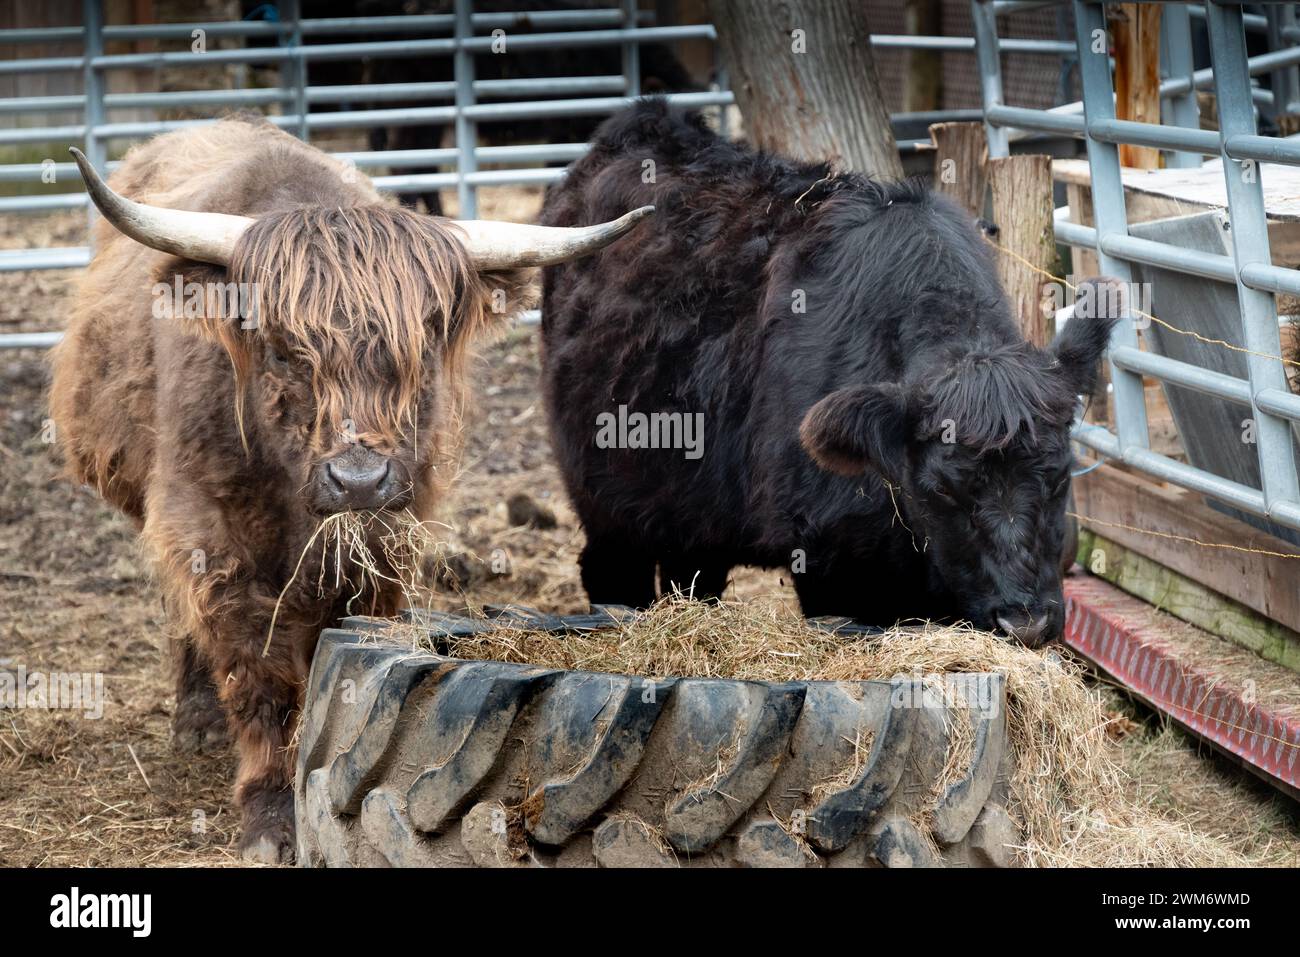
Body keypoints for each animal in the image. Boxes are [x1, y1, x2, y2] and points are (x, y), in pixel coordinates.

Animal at [50, 115, 650, 862]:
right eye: (282, 350)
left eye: (422, 344)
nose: (358, 478)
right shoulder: (207, 530)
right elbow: (255, 671)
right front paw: (270, 814)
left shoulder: (386, 537)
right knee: (179, 610)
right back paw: (197, 721)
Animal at [539, 100, 1119, 647]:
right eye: (942, 491)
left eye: (1061, 478)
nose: (1026, 622)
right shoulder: (828, 562)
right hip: (603, 498)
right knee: (611, 572)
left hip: (691, 510)